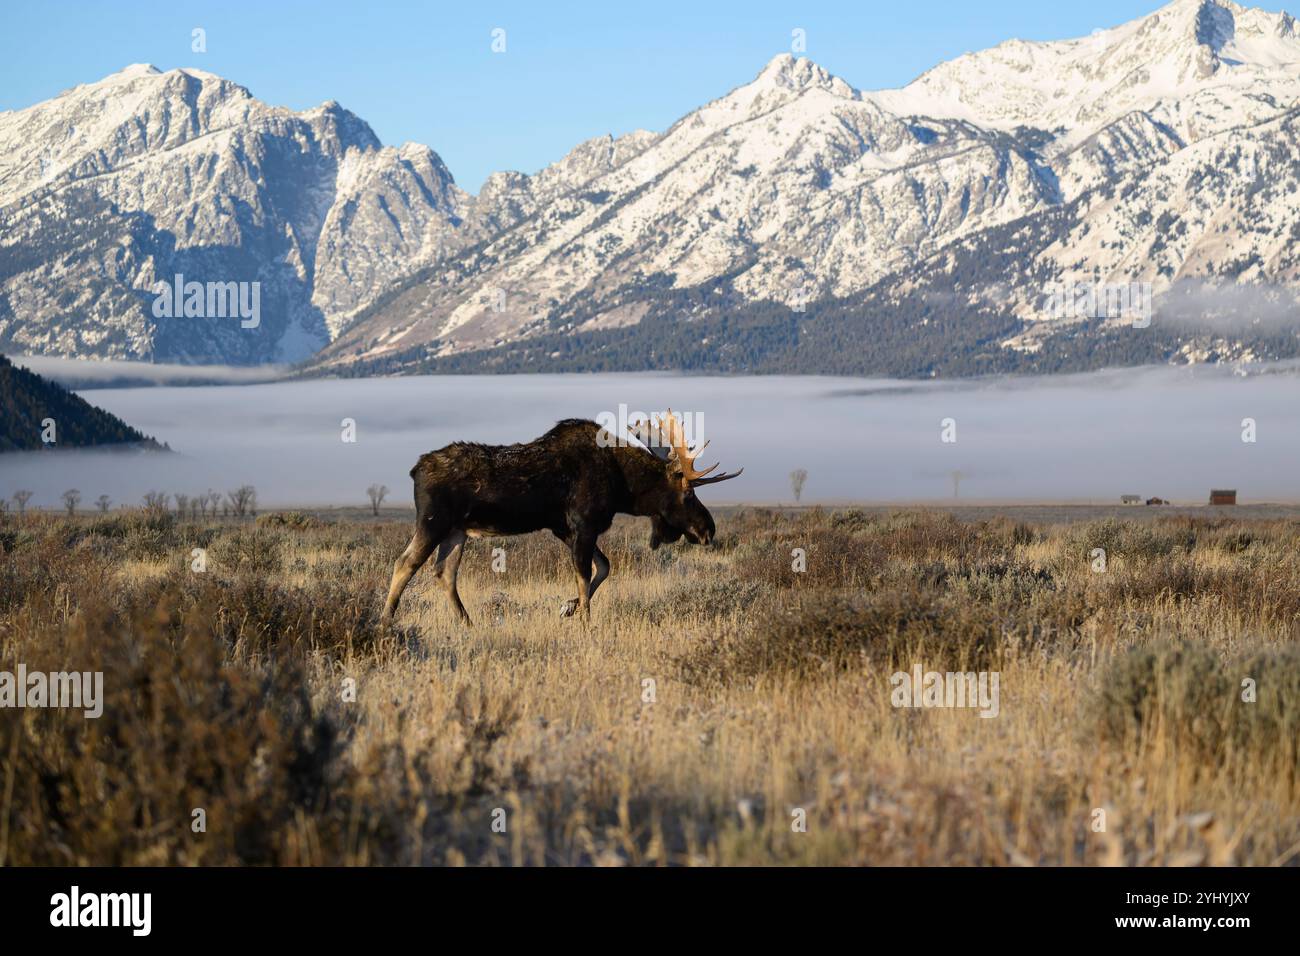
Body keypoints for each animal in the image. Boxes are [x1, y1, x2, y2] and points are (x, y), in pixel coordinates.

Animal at [381, 410, 741, 625]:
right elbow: (586, 575)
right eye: (689, 494)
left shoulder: (565, 529)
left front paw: (568, 607)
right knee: (405, 563)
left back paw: (467, 623)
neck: (624, 485)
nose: (708, 529)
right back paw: (386, 620)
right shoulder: (583, 525)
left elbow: (604, 567)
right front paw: (584, 620)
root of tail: (414, 470)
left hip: (457, 531)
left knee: (444, 572)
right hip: (434, 521)